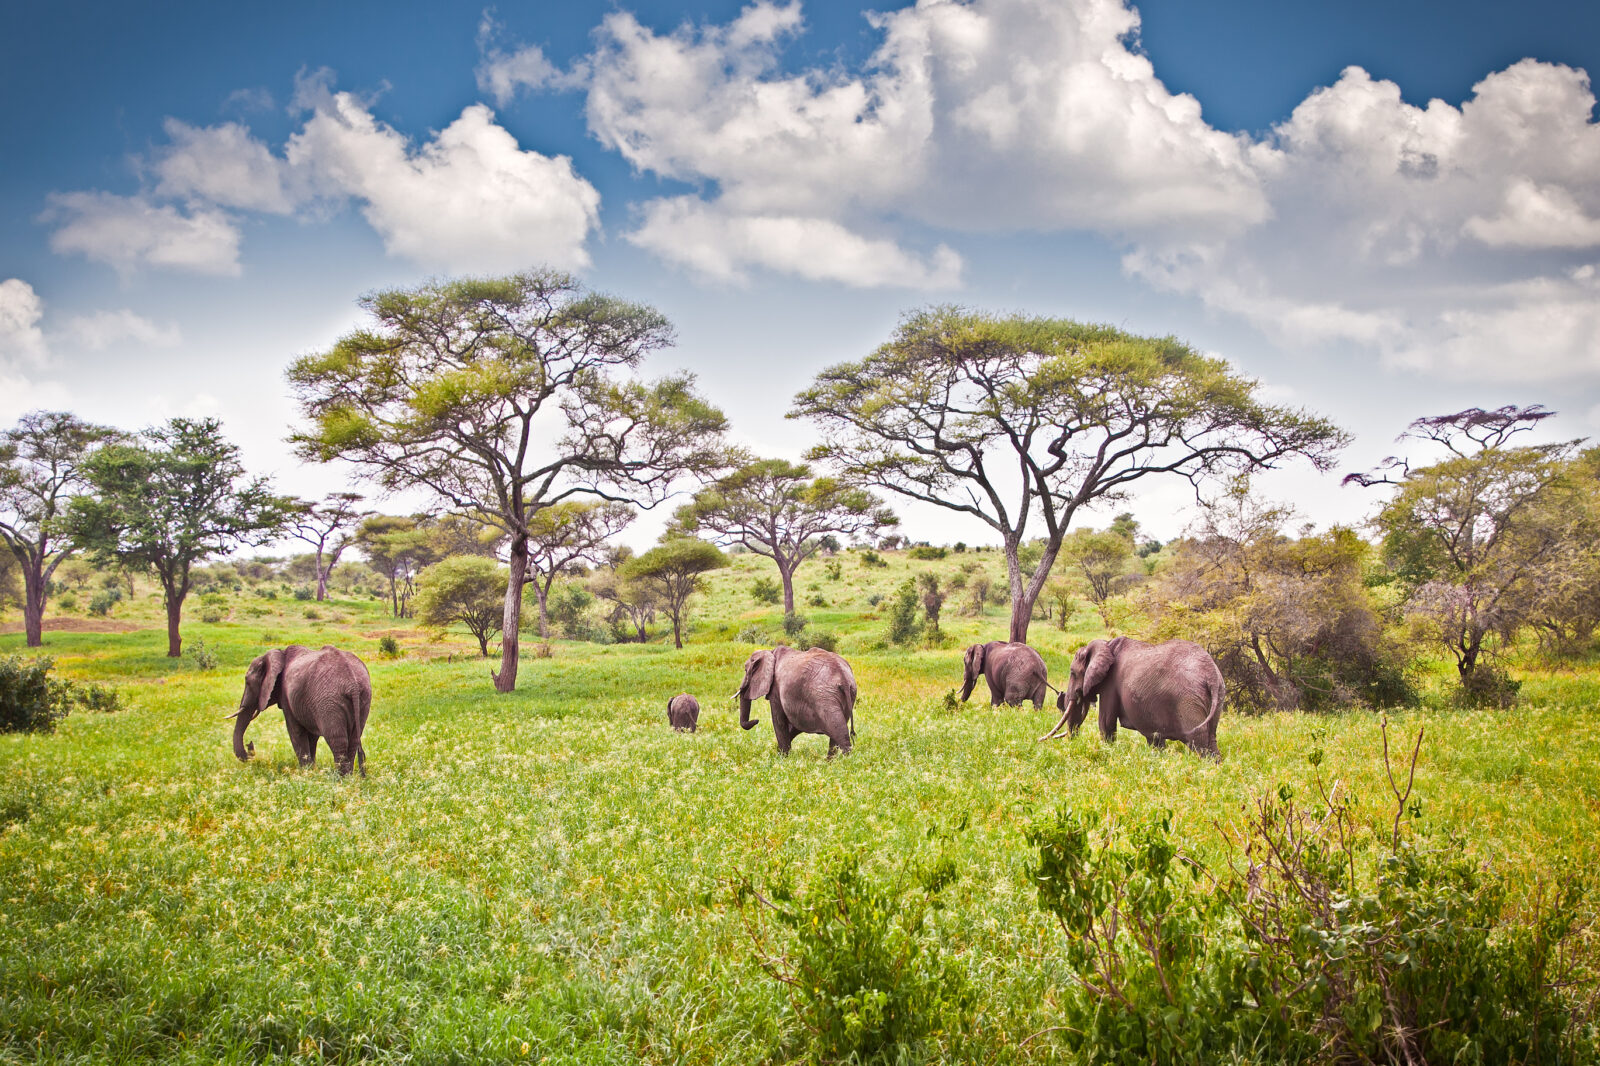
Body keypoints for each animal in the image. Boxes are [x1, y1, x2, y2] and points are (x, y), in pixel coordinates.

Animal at [229, 645, 373, 775]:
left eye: (247, 682)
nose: (250, 744)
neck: (279, 654)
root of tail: (352, 684)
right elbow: (312, 737)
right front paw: (311, 771)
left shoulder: (287, 697)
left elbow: (295, 732)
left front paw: (306, 774)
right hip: (363, 698)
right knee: (354, 739)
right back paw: (348, 778)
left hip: (330, 701)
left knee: (337, 740)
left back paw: (340, 779)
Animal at [1041, 636, 1223, 758]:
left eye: (1072, 673)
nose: (1072, 740)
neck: (1106, 645)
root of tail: (1211, 675)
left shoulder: (1110, 683)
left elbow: (1106, 724)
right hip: (1217, 697)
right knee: (1211, 740)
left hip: (1187, 701)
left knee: (1198, 741)